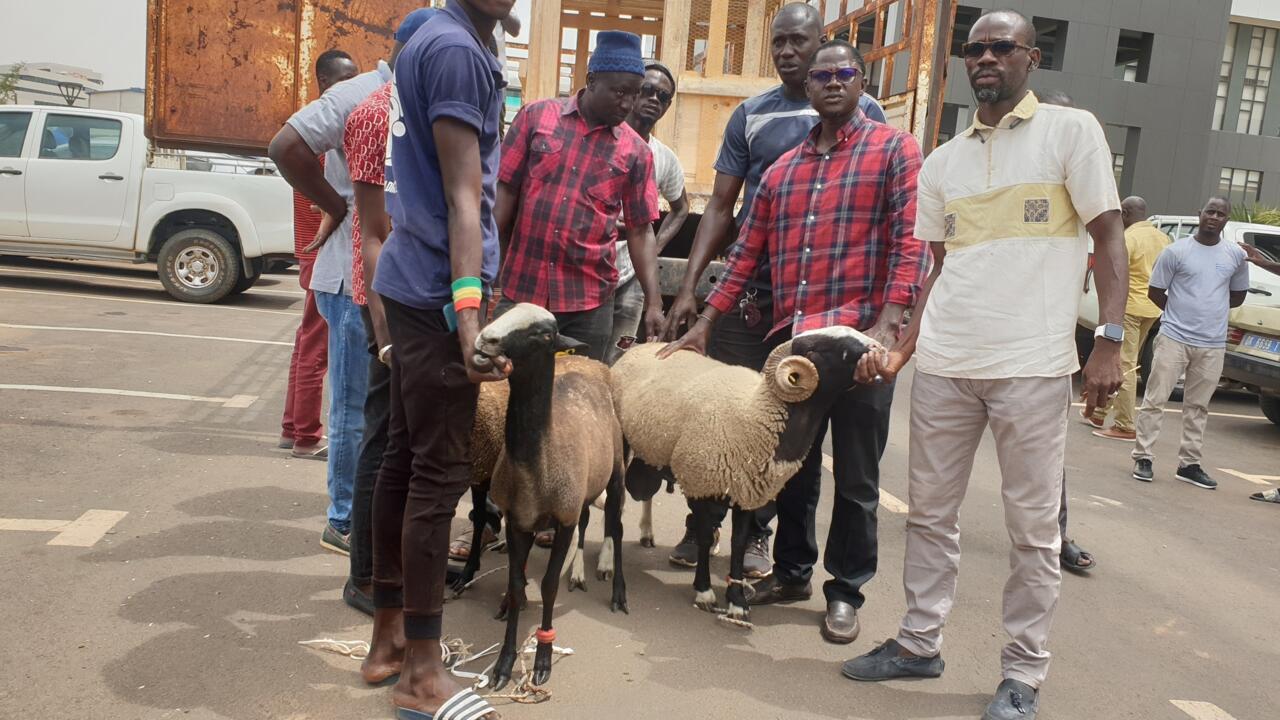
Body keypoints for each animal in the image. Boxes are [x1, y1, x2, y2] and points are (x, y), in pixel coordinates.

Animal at [472, 303, 628, 692]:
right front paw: (504, 663)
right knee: (588, 519)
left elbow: (547, 586)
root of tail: (588, 362)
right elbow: (516, 586)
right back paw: (579, 573)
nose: (486, 339)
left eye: (543, 334)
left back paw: (618, 592)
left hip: (617, 470)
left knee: (615, 529)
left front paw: (543, 659)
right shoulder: (518, 521)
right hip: (581, 491)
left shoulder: (562, 520)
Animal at [610, 326, 877, 624]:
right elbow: (705, 537)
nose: (879, 349)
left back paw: (646, 533)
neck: (757, 411)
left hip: (650, 452)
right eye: (815, 350)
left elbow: (738, 544)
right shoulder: (699, 482)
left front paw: (737, 602)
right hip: (620, 439)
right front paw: (704, 592)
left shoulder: (747, 492)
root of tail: (644, 346)